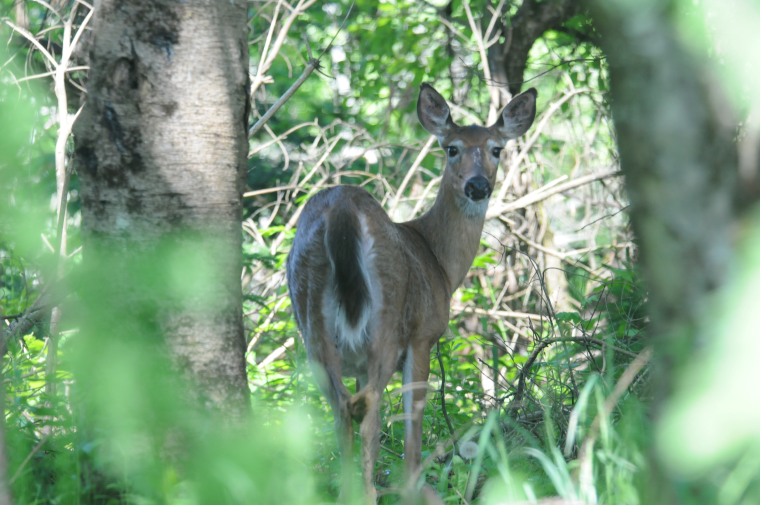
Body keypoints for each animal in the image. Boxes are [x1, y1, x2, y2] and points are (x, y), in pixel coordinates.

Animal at [286, 83, 537, 503]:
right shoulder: (424, 335)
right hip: (387, 317)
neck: (440, 262)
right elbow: (413, 424)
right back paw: (371, 492)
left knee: (342, 410)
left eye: (496, 149)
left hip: (311, 320)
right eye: (451, 148)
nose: (477, 185)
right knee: (369, 408)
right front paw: (415, 487)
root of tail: (341, 210)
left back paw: (351, 490)